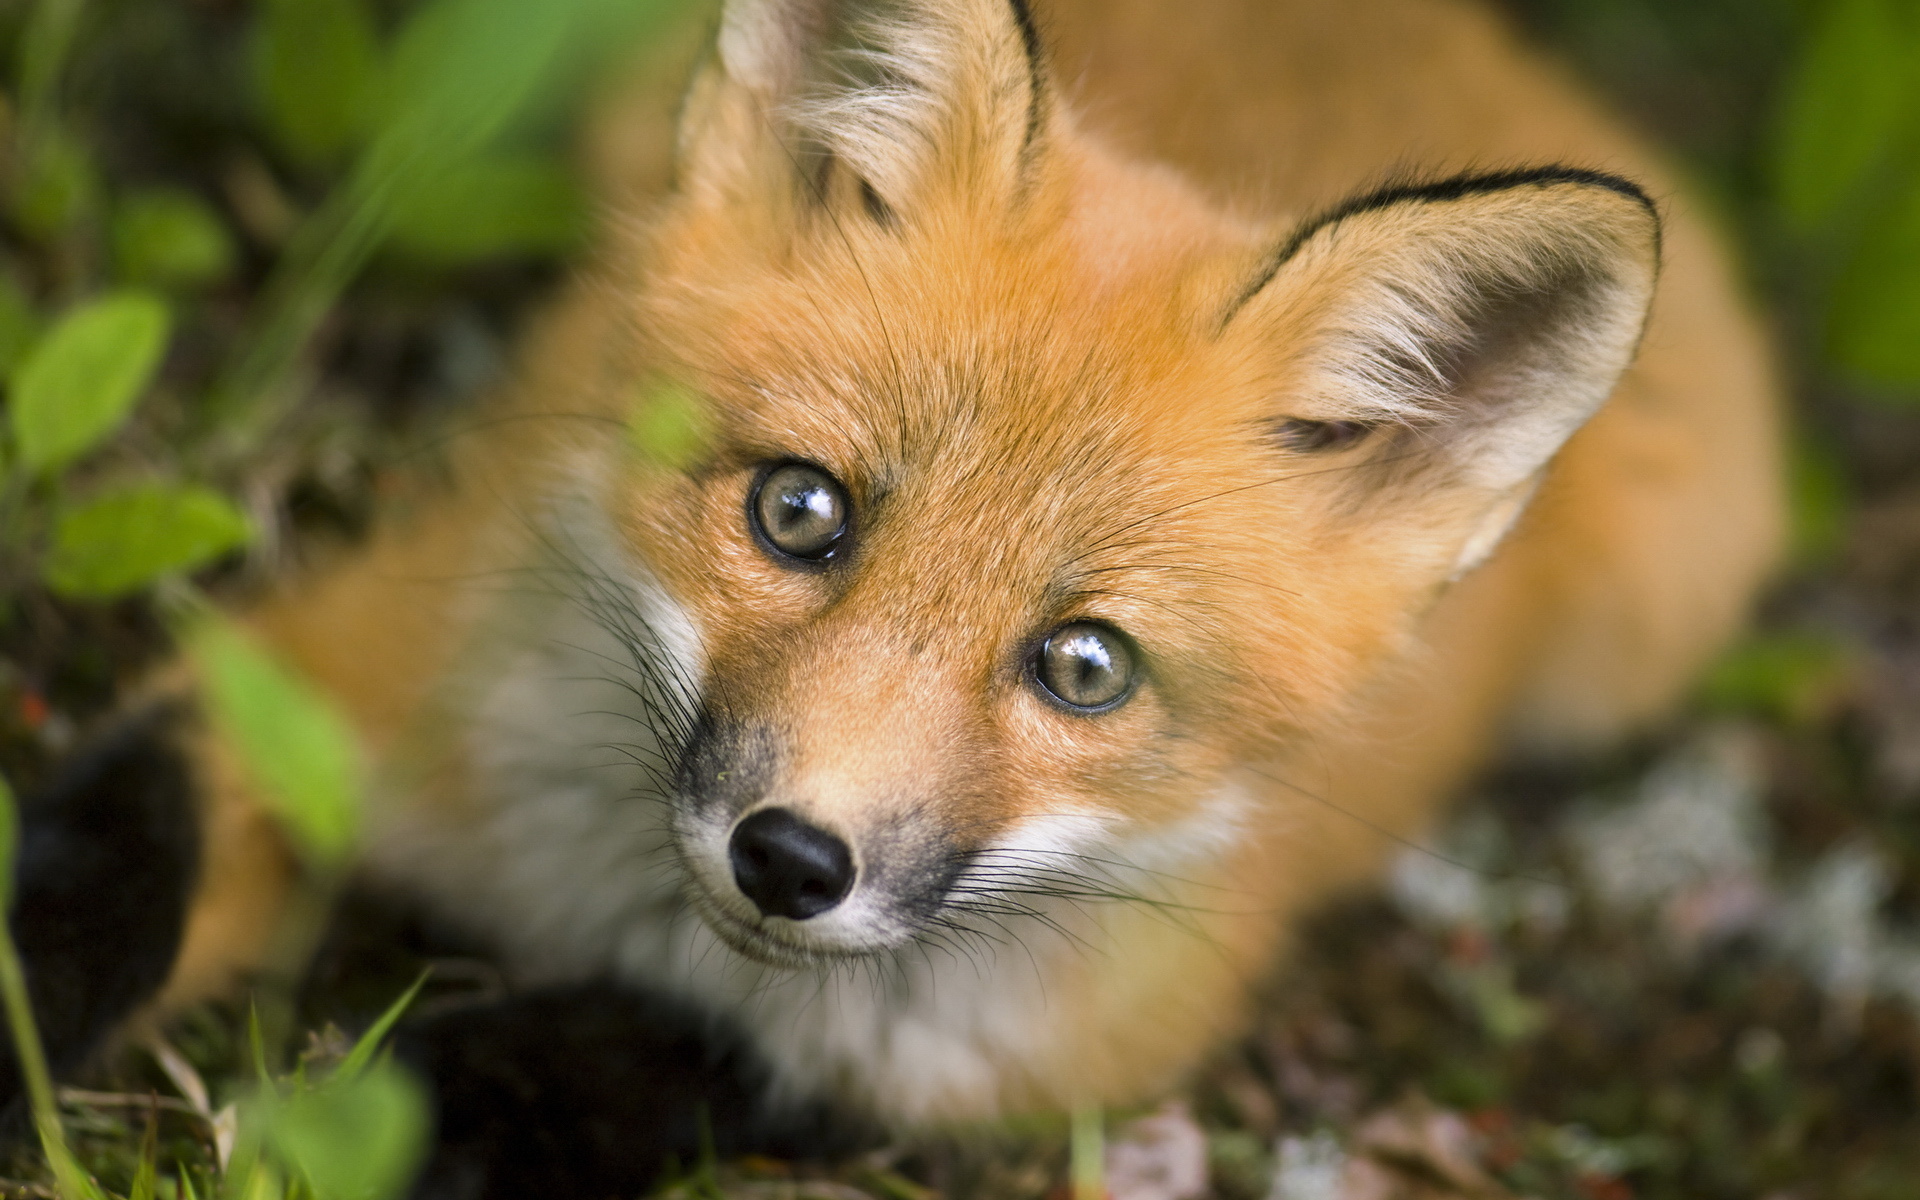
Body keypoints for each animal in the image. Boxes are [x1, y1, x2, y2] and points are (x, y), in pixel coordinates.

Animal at [5, 0, 1781, 1193]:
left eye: (1084, 667)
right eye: (801, 512)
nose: (790, 860)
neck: (610, 896)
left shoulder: (1041, 1046)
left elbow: (731, 1046)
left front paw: (429, 1102)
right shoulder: (322, 679)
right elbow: (108, 867)